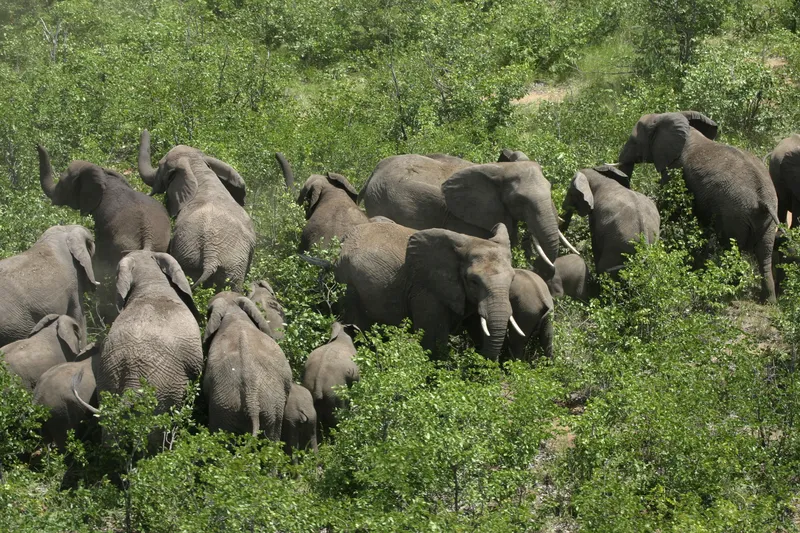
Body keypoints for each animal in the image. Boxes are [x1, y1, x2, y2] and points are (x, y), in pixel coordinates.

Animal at [359, 154, 576, 279]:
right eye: (520, 200)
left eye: (550, 188)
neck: (502, 169)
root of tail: (373, 172)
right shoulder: (467, 218)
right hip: (380, 199)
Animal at [617, 110, 778, 302]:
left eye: (634, 140)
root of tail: (764, 200)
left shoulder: (675, 169)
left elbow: (669, 206)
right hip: (766, 221)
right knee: (765, 255)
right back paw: (768, 301)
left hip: (735, 216)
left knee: (733, 250)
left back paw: (729, 292)